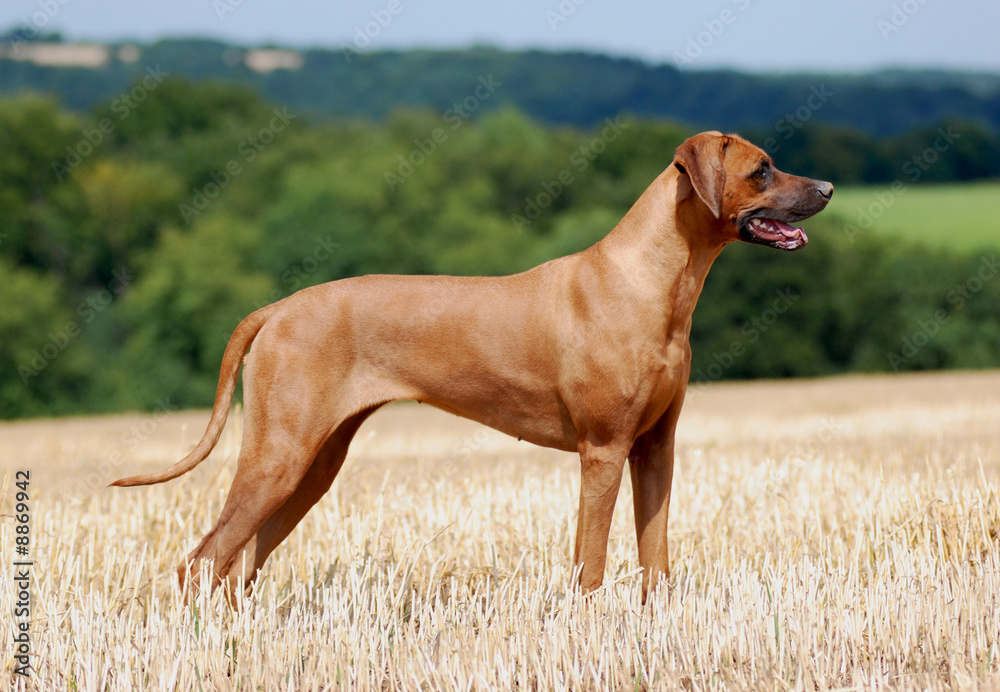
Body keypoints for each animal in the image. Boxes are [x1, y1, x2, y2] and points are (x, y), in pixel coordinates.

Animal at [113, 132, 836, 604]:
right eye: (763, 170)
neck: (654, 281)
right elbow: (591, 565)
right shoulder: (603, 451)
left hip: (311, 466)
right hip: (278, 456)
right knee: (201, 563)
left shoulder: (656, 448)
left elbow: (656, 560)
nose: (829, 187)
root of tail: (278, 309)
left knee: (238, 567)